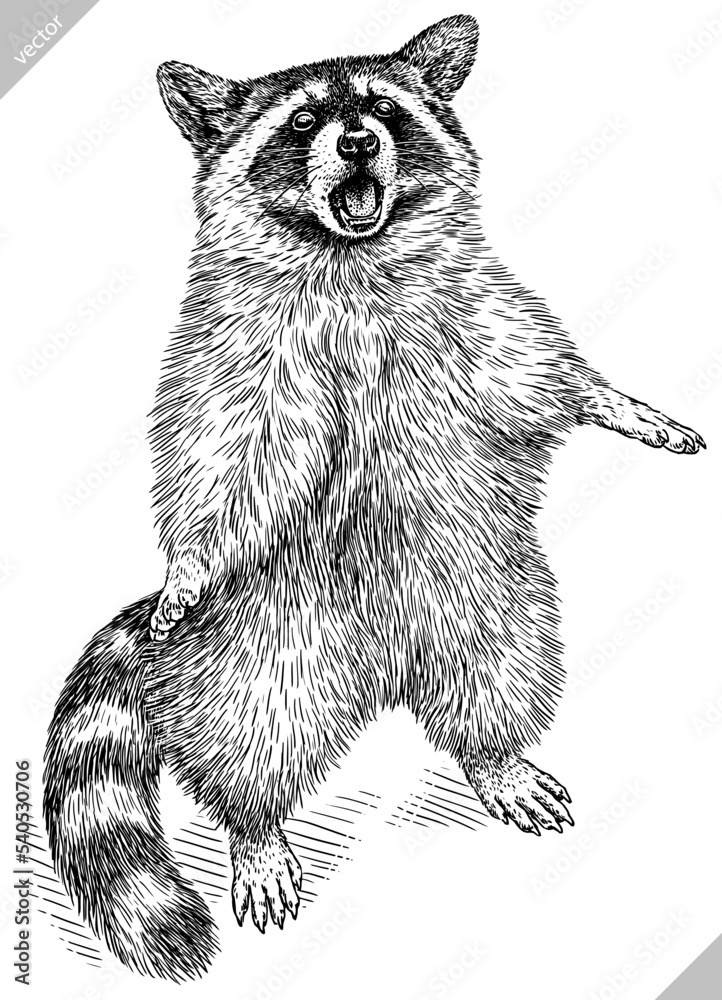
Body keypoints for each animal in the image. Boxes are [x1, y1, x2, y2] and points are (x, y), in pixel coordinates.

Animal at [43, 15, 705, 981]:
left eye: (384, 109)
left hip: (487, 595)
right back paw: (254, 827)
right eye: (302, 119)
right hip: (262, 645)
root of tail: (386, 665)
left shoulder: (481, 313)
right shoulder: (238, 355)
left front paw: (618, 402)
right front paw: (192, 560)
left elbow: (539, 374)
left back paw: (495, 755)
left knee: (500, 672)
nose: (357, 141)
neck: (351, 256)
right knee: (251, 735)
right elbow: (224, 454)